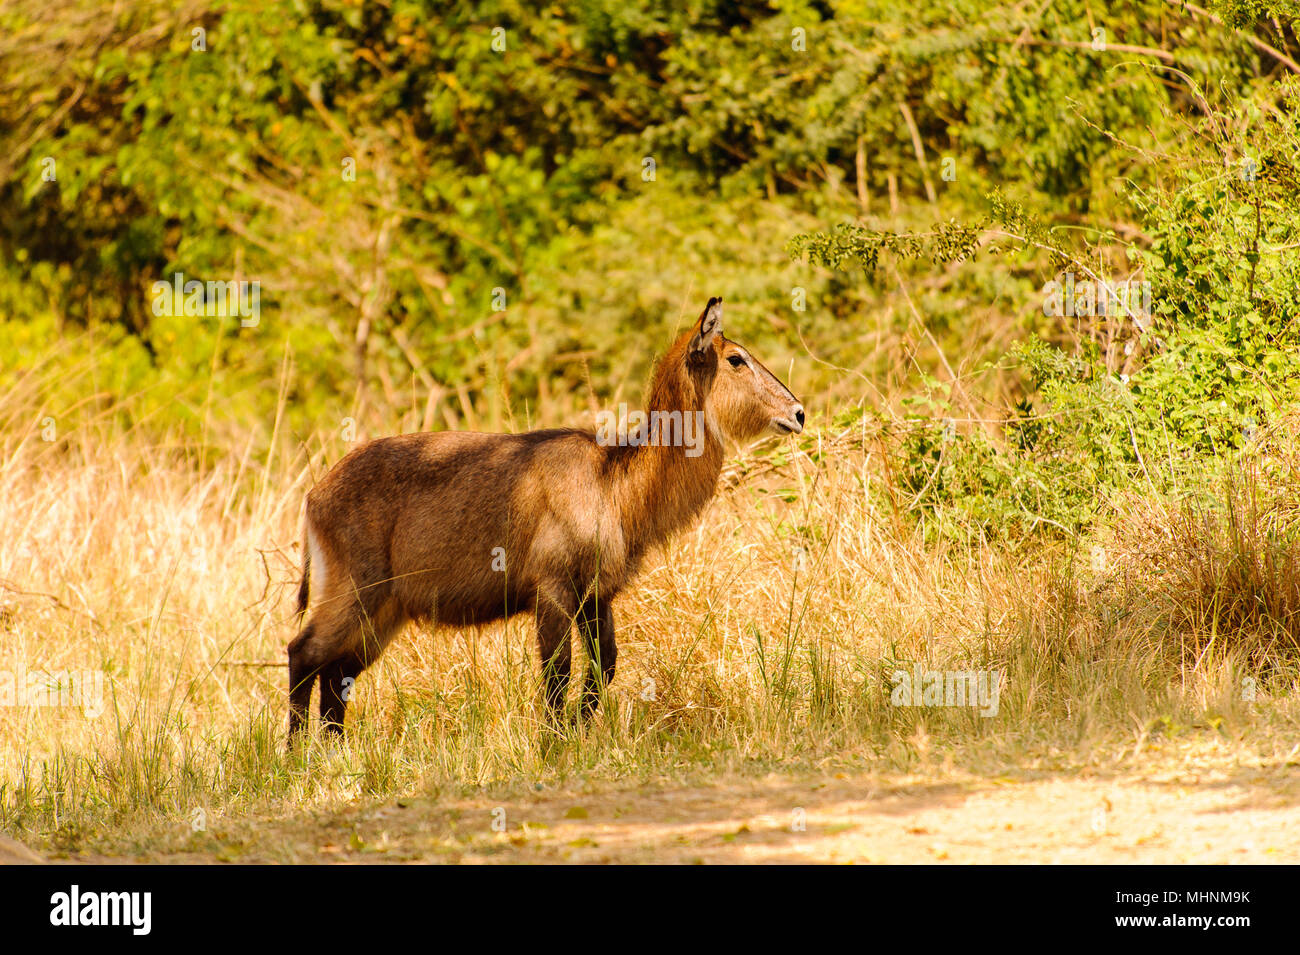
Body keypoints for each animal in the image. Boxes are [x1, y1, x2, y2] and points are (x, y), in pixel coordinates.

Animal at [287, 297, 804, 740]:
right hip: (356, 590)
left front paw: (577, 729)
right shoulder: (552, 589)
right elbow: (558, 673)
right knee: (303, 652)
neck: (614, 480)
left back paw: (333, 751)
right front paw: (554, 744)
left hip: (387, 609)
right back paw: (295, 757)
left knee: (337, 672)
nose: (798, 412)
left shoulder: (597, 594)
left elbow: (604, 666)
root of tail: (315, 494)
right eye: (736, 358)